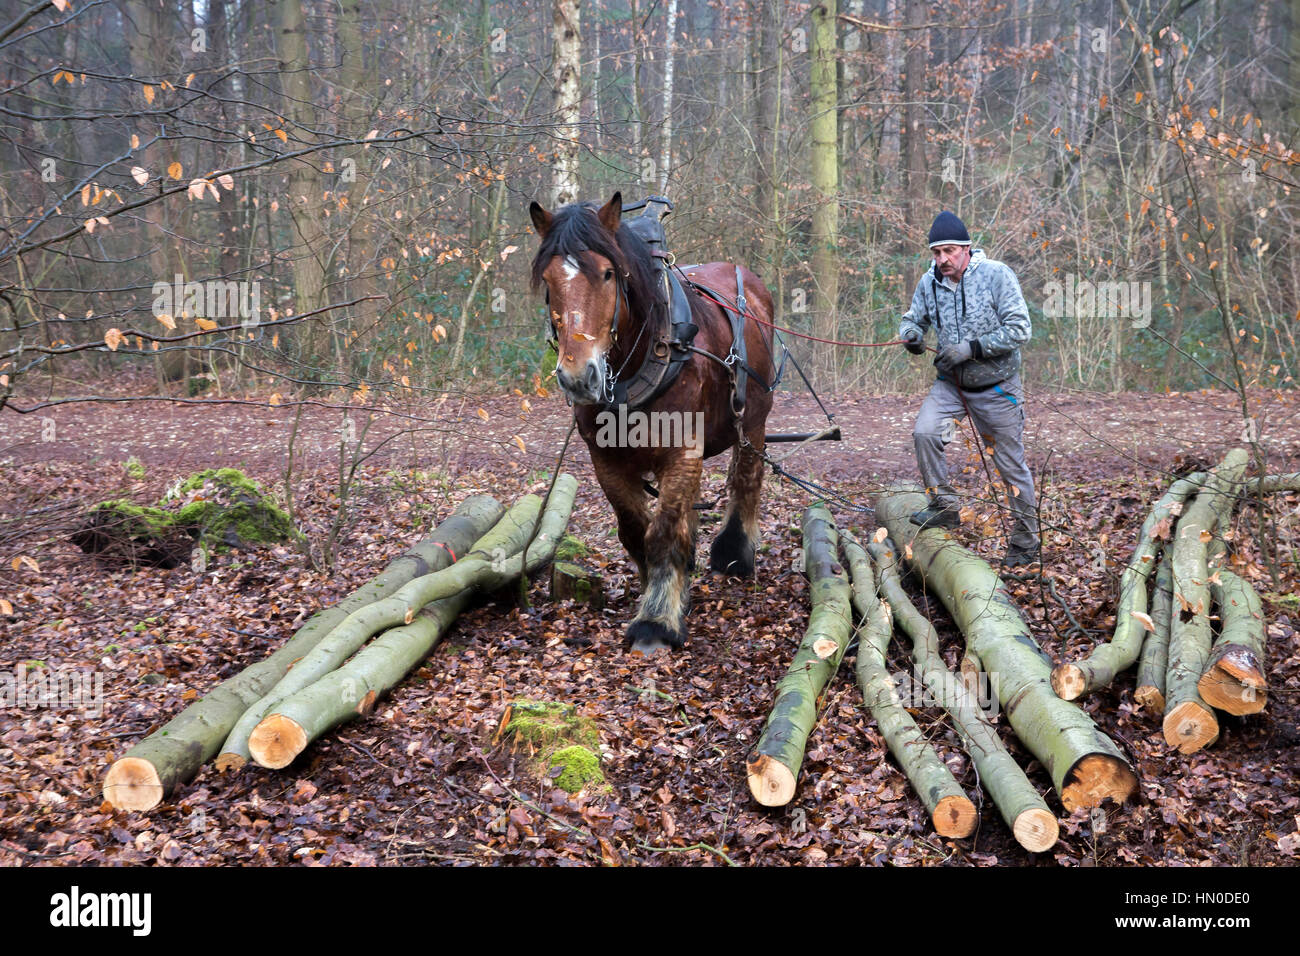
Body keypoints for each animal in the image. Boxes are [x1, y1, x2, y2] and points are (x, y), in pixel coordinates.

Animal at [529, 191, 776, 653]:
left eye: (608, 273)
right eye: (549, 281)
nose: (578, 377)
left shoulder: (681, 450)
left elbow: (661, 532)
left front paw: (657, 620)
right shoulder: (606, 461)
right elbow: (635, 530)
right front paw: (665, 592)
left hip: (753, 418)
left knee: (746, 477)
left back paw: (735, 554)